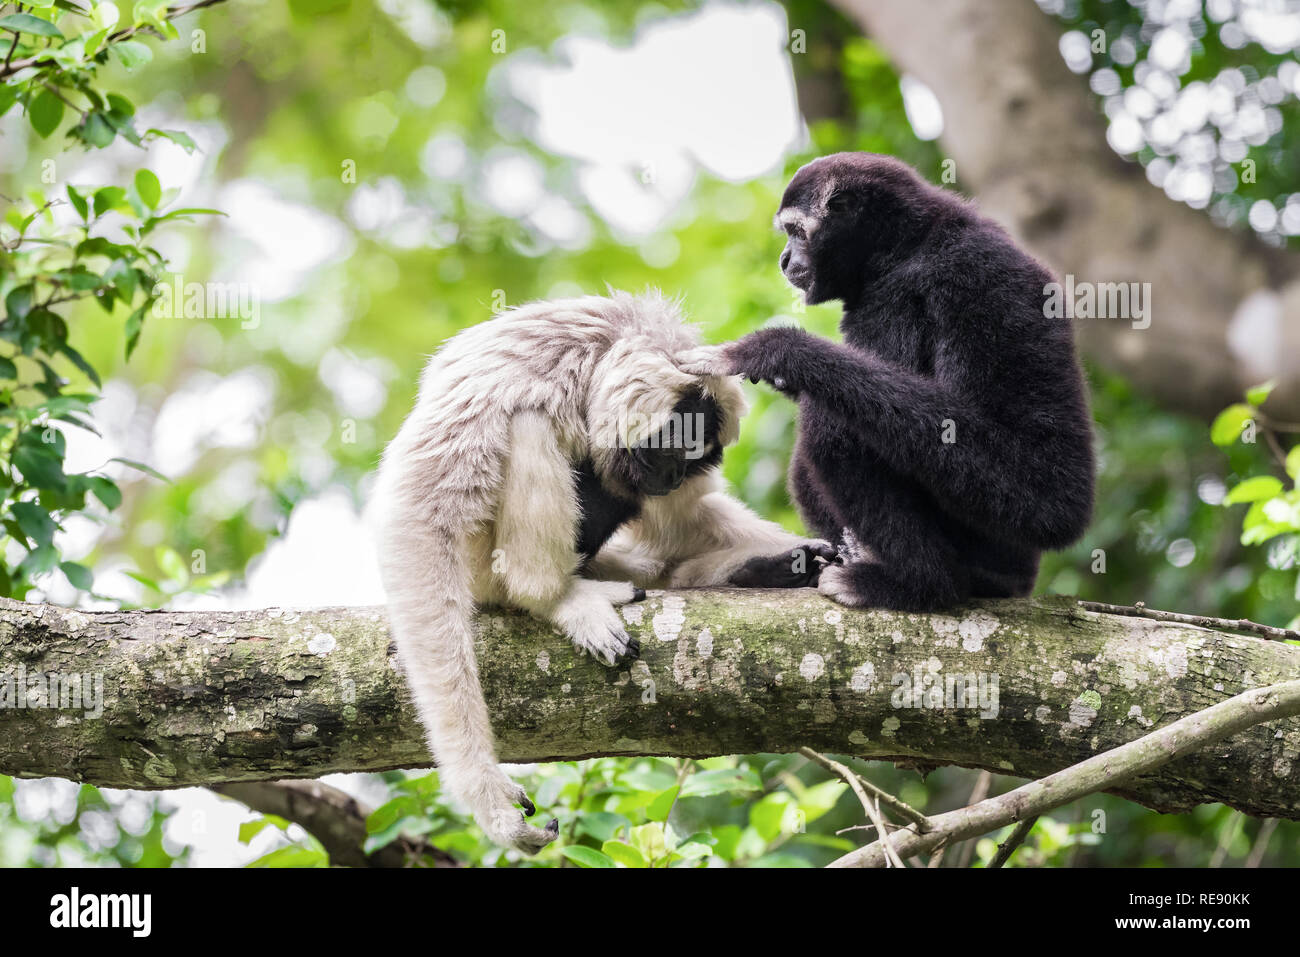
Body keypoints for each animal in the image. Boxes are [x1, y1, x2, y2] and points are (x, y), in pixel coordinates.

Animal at [371, 291, 835, 852]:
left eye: (693, 462)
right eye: (675, 449)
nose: (676, 476)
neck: (590, 371)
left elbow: (682, 521)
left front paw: (788, 558)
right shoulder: (510, 373)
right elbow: (419, 523)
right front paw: (484, 793)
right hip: (481, 566)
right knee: (529, 425)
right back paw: (553, 596)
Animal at [690, 153, 1095, 612]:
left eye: (796, 232)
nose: (783, 258)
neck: (905, 254)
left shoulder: (981, 274)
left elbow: (1050, 496)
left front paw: (775, 349)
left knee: (831, 425)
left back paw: (917, 584)